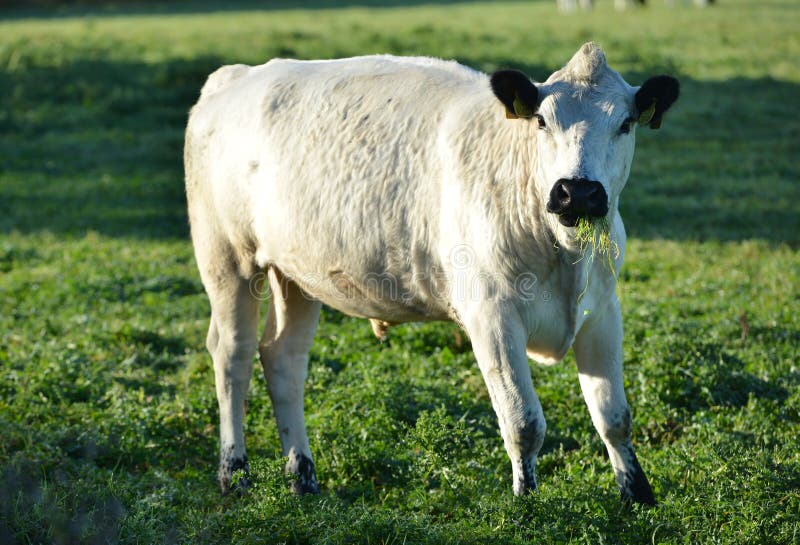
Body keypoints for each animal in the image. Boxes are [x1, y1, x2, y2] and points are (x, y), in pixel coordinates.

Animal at [184, 42, 679, 505]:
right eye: (541, 120)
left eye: (626, 123)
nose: (577, 192)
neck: (564, 254)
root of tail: (236, 76)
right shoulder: (491, 318)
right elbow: (523, 422)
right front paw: (527, 503)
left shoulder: (603, 312)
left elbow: (613, 416)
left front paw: (637, 494)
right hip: (227, 260)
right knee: (233, 356)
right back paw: (235, 473)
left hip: (298, 276)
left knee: (283, 358)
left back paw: (302, 476)